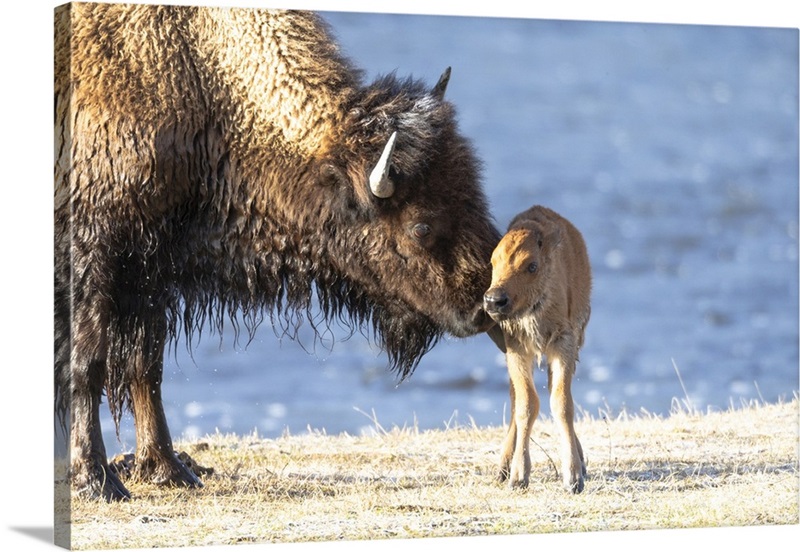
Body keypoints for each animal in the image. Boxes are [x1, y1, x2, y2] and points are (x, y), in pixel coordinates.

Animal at [54, 3, 502, 501]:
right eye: (420, 225)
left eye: (474, 191)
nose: (484, 305)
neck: (202, 77)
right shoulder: (96, 259)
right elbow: (89, 364)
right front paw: (98, 480)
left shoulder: (152, 270)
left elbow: (145, 367)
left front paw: (171, 470)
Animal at [483, 205, 591, 493]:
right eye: (492, 262)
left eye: (531, 265)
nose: (494, 300)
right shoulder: (517, 348)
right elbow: (526, 404)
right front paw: (518, 477)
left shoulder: (563, 344)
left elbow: (562, 403)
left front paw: (573, 478)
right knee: (516, 399)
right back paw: (503, 468)